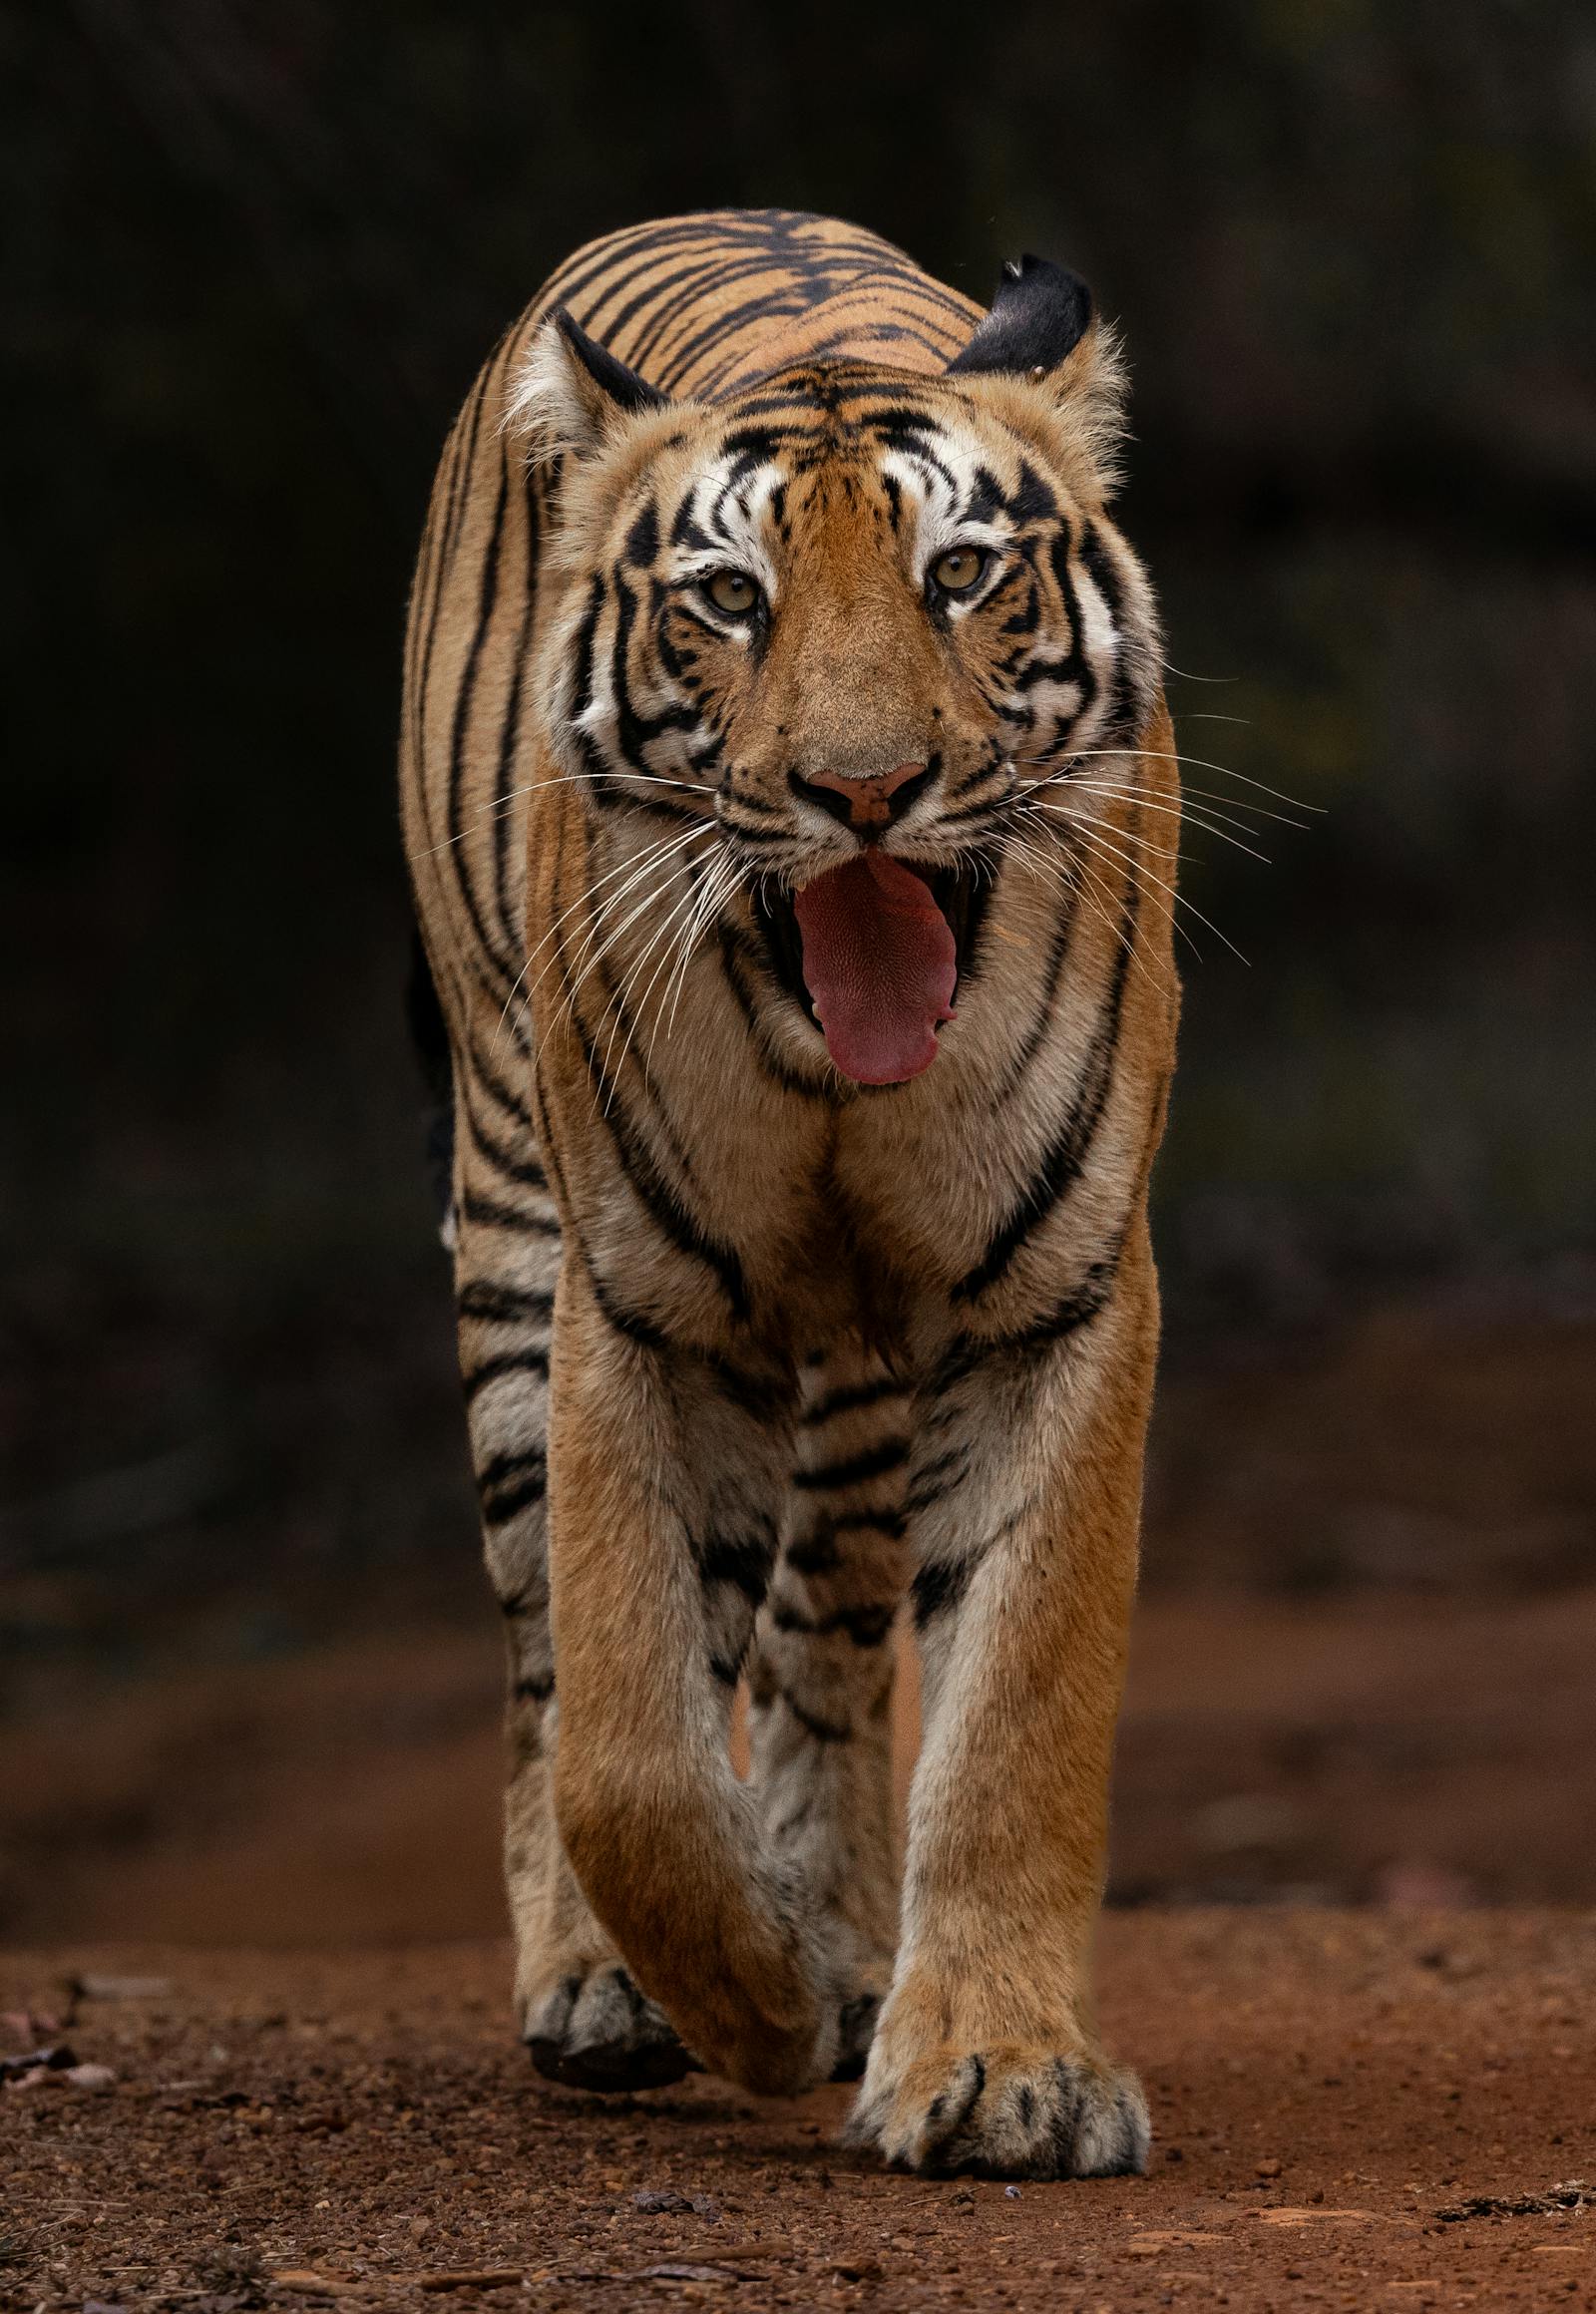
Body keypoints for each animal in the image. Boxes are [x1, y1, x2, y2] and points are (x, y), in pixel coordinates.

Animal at [400, 207, 1178, 2179]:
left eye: (961, 574)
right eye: (731, 598)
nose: (867, 790)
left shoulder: (1058, 1295)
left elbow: (1017, 1712)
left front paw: (994, 2073)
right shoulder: (634, 1304)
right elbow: (626, 1733)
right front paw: (732, 1997)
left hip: (863, 1371)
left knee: (824, 1637)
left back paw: (837, 1929)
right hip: (509, 1210)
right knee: (546, 1666)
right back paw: (625, 1983)